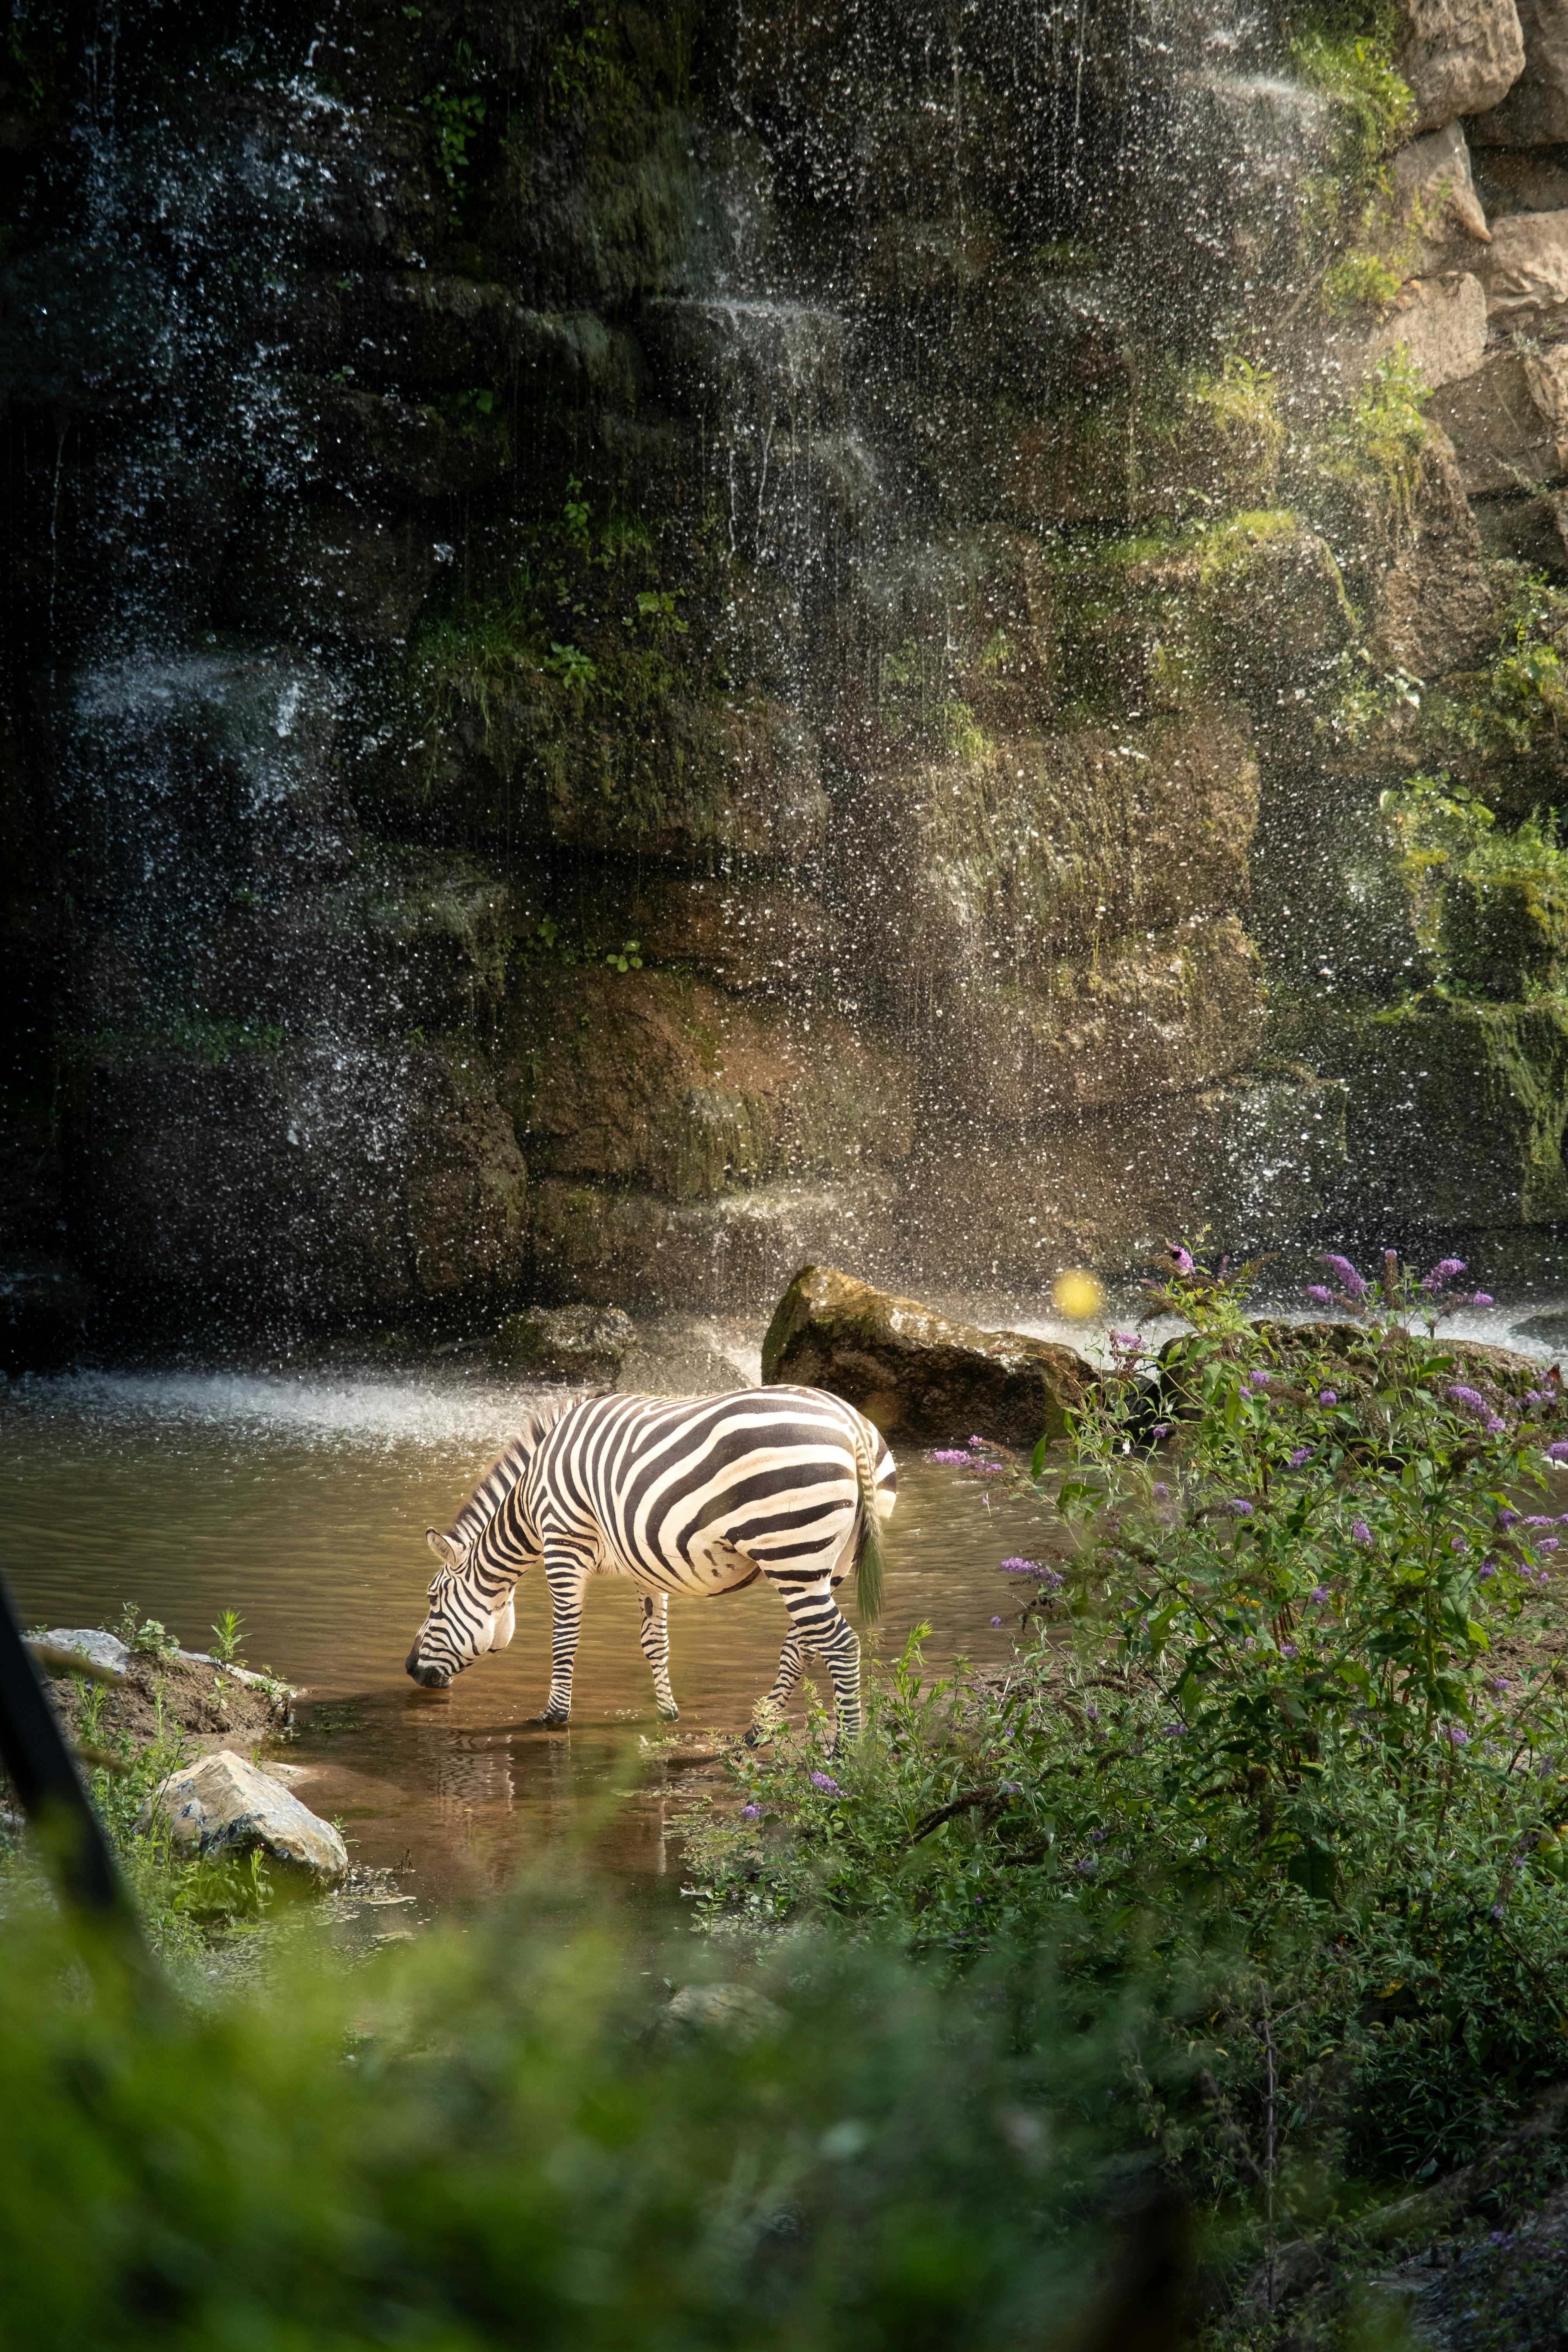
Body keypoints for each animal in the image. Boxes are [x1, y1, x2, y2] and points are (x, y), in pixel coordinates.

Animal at [405, 1386, 897, 1746]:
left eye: (432, 1600)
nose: (409, 1670)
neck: (529, 1499)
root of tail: (852, 1424)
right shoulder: (647, 1563)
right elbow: (654, 1643)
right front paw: (666, 1712)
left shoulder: (563, 1542)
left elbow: (564, 1637)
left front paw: (554, 1714)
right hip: (827, 1564)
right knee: (803, 1646)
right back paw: (758, 1730)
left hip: (790, 1553)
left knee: (841, 1645)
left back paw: (846, 1752)